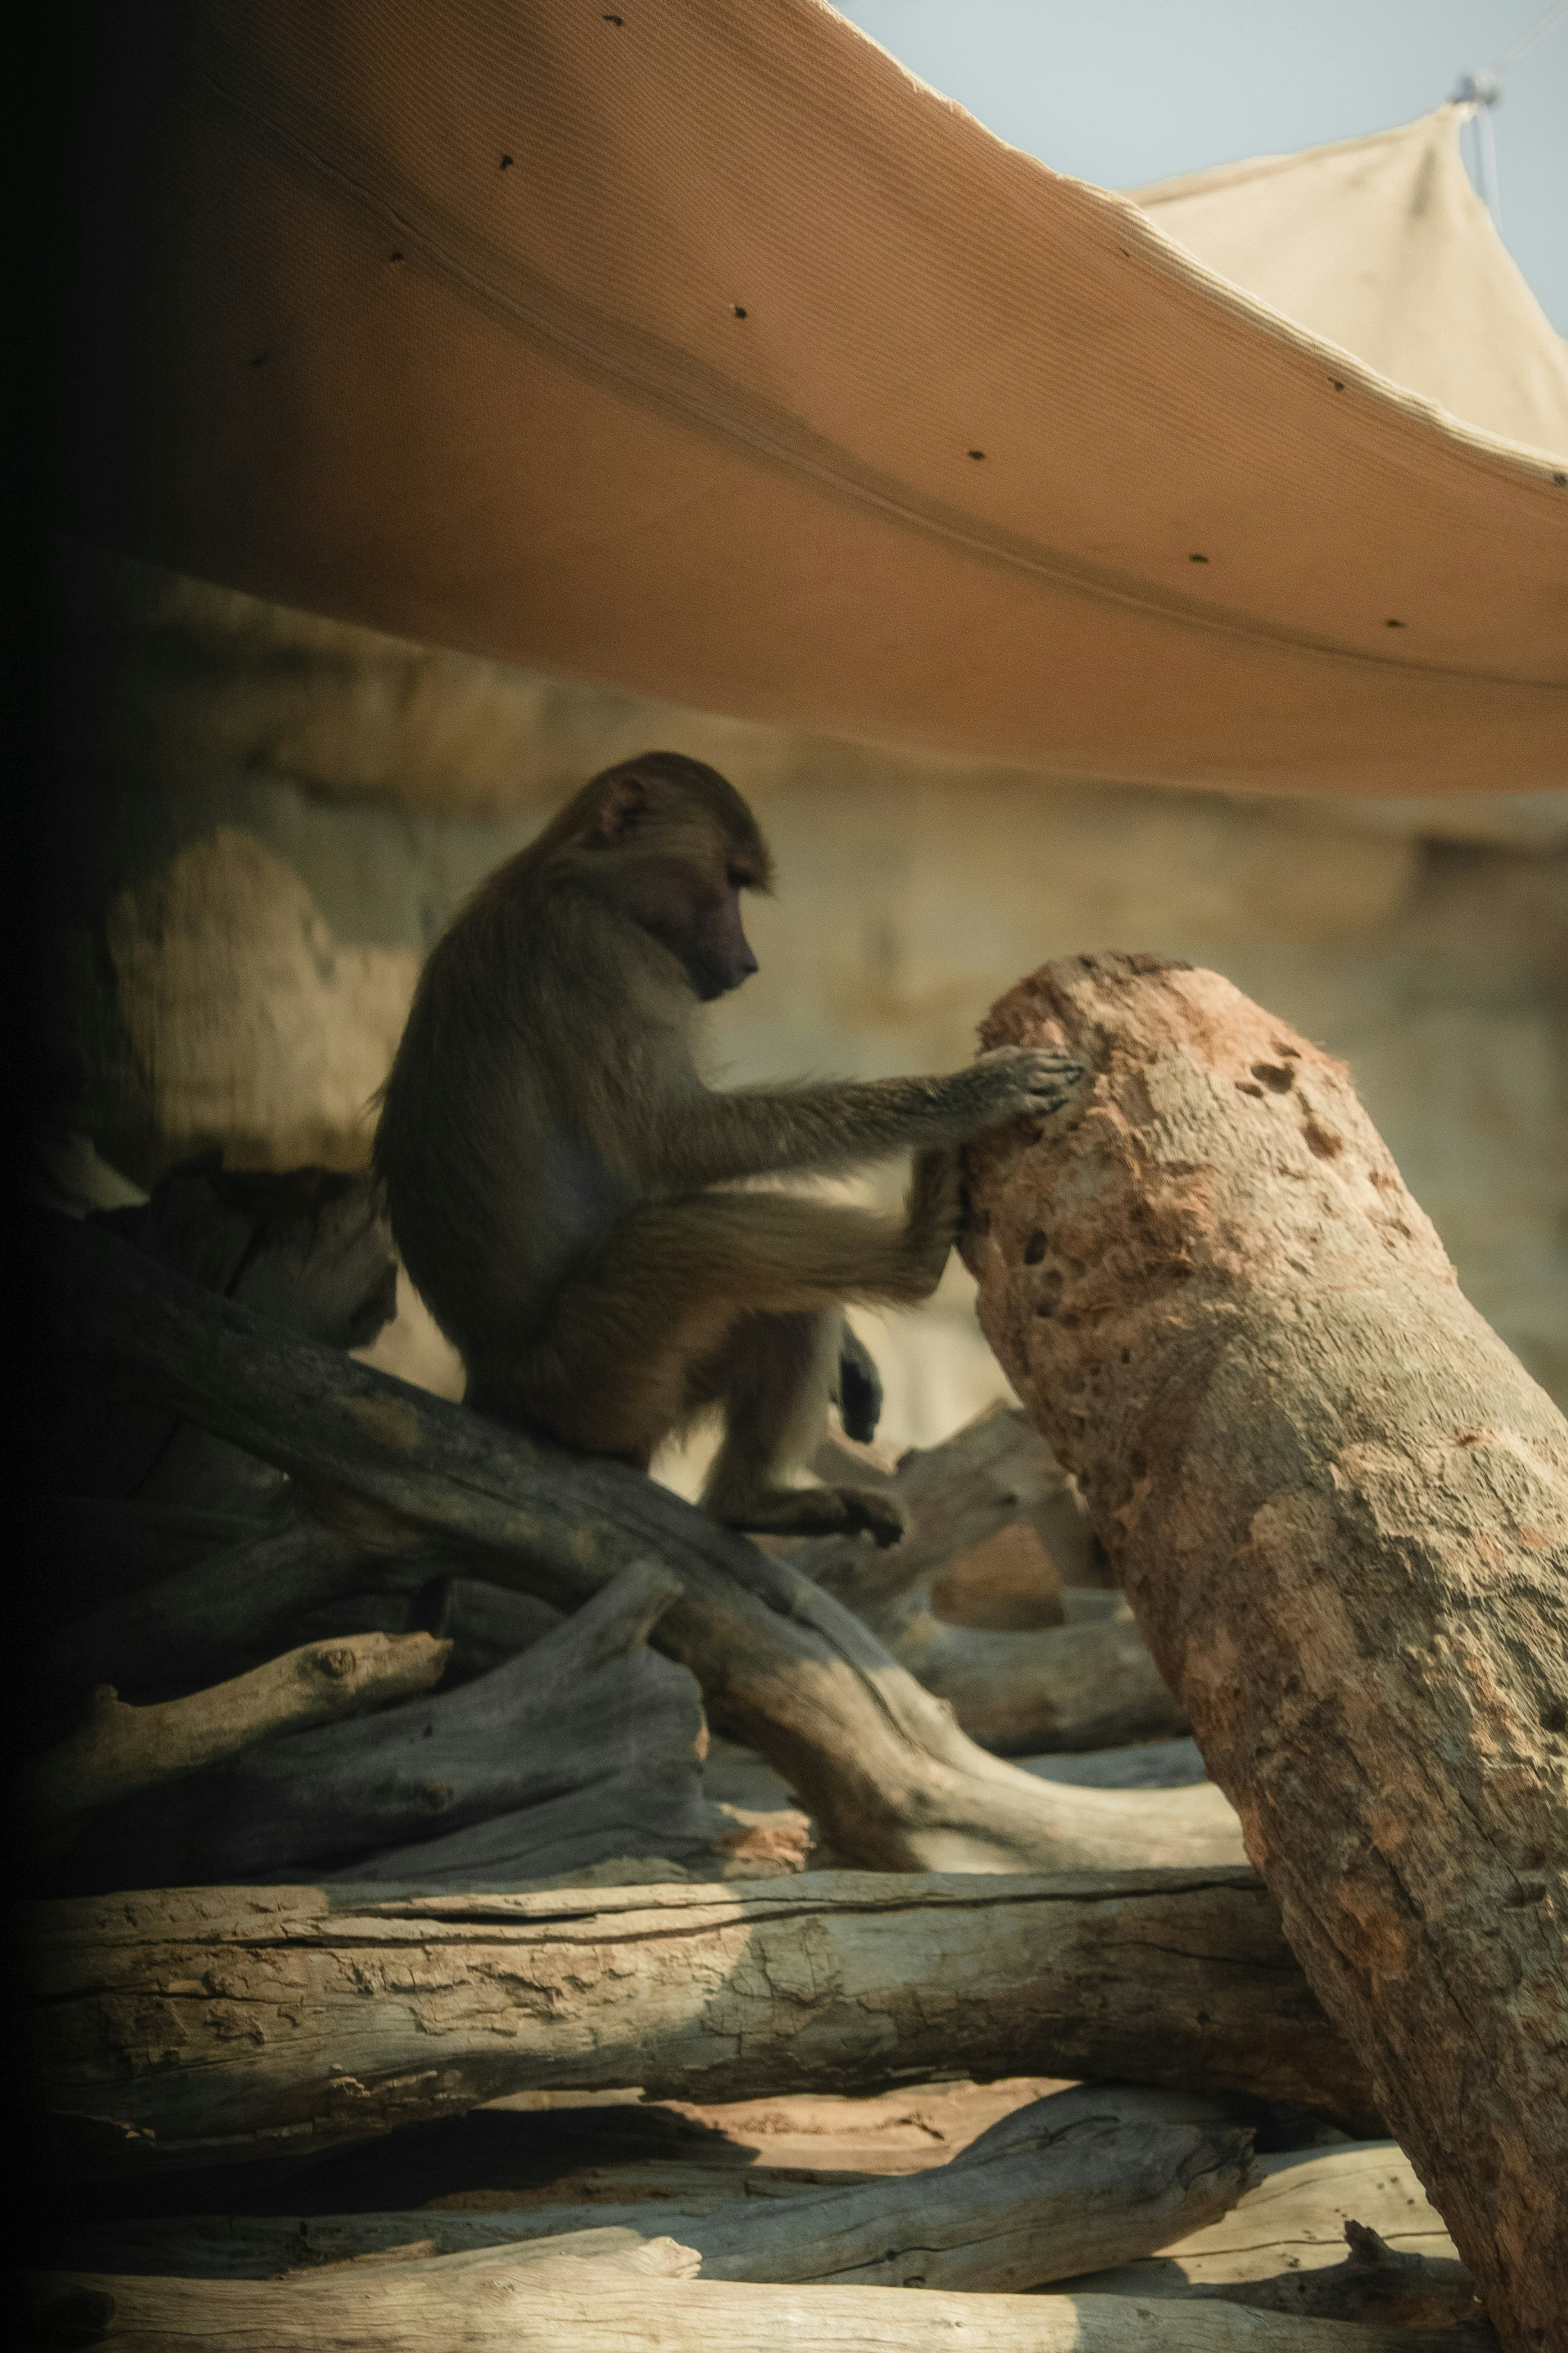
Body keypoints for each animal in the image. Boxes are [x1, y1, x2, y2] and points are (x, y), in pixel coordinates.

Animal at [372, 752, 1082, 1543]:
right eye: (731, 879)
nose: (747, 963)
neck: (574, 874)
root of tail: (490, 1390)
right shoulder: (597, 949)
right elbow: (677, 1139)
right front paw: (967, 1097)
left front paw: (853, 1359)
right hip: (587, 1378)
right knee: (681, 1239)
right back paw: (917, 1251)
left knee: (781, 1301)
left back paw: (756, 1502)